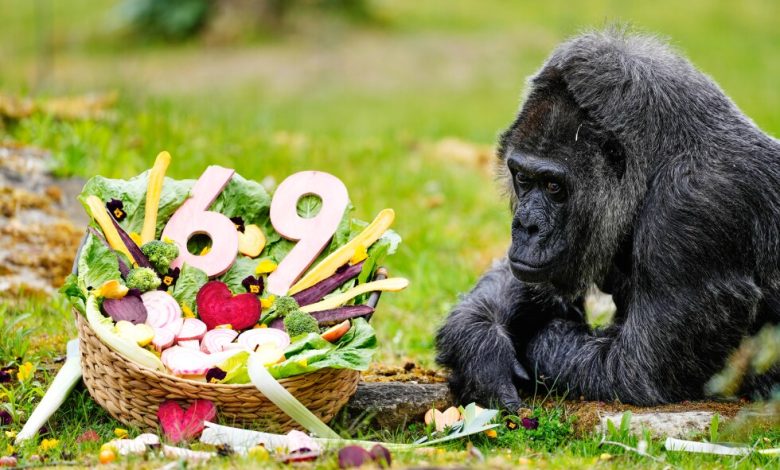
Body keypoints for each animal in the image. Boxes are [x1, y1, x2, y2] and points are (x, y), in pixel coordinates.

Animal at [436, 29, 780, 410]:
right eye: (523, 178)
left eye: (554, 186)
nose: (526, 226)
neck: (659, 163)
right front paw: (480, 344)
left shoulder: (695, 211)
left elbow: (632, 370)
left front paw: (535, 341)